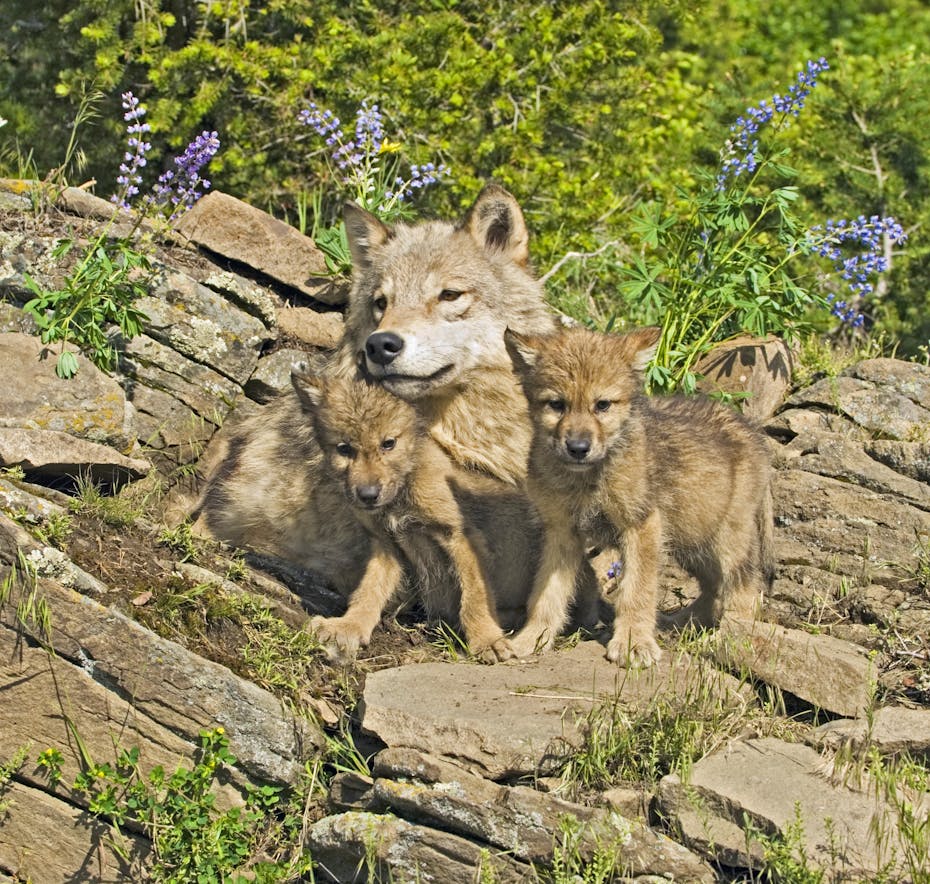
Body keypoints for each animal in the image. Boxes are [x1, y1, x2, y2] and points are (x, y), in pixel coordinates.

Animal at [291, 366, 539, 662]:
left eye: (388, 443)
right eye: (344, 449)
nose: (368, 495)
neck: (401, 495)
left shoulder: (460, 536)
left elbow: (474, 597)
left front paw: (487, 640)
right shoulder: (387, 545)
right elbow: (368, 591)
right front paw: (349, 626)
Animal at [505, 326, 775, 667]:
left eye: (603, 405)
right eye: (556, 404)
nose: (578, 448)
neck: (588, 478)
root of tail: (754, 433)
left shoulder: (641, 525)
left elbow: (637, 590)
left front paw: (633, 643)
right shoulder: (562, 533)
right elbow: (546, 595)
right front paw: (530, 639)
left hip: (727, 540)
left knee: (745, 590)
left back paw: (729, 639)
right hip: (692, 537)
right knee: (713, 588)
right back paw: (679, 623)